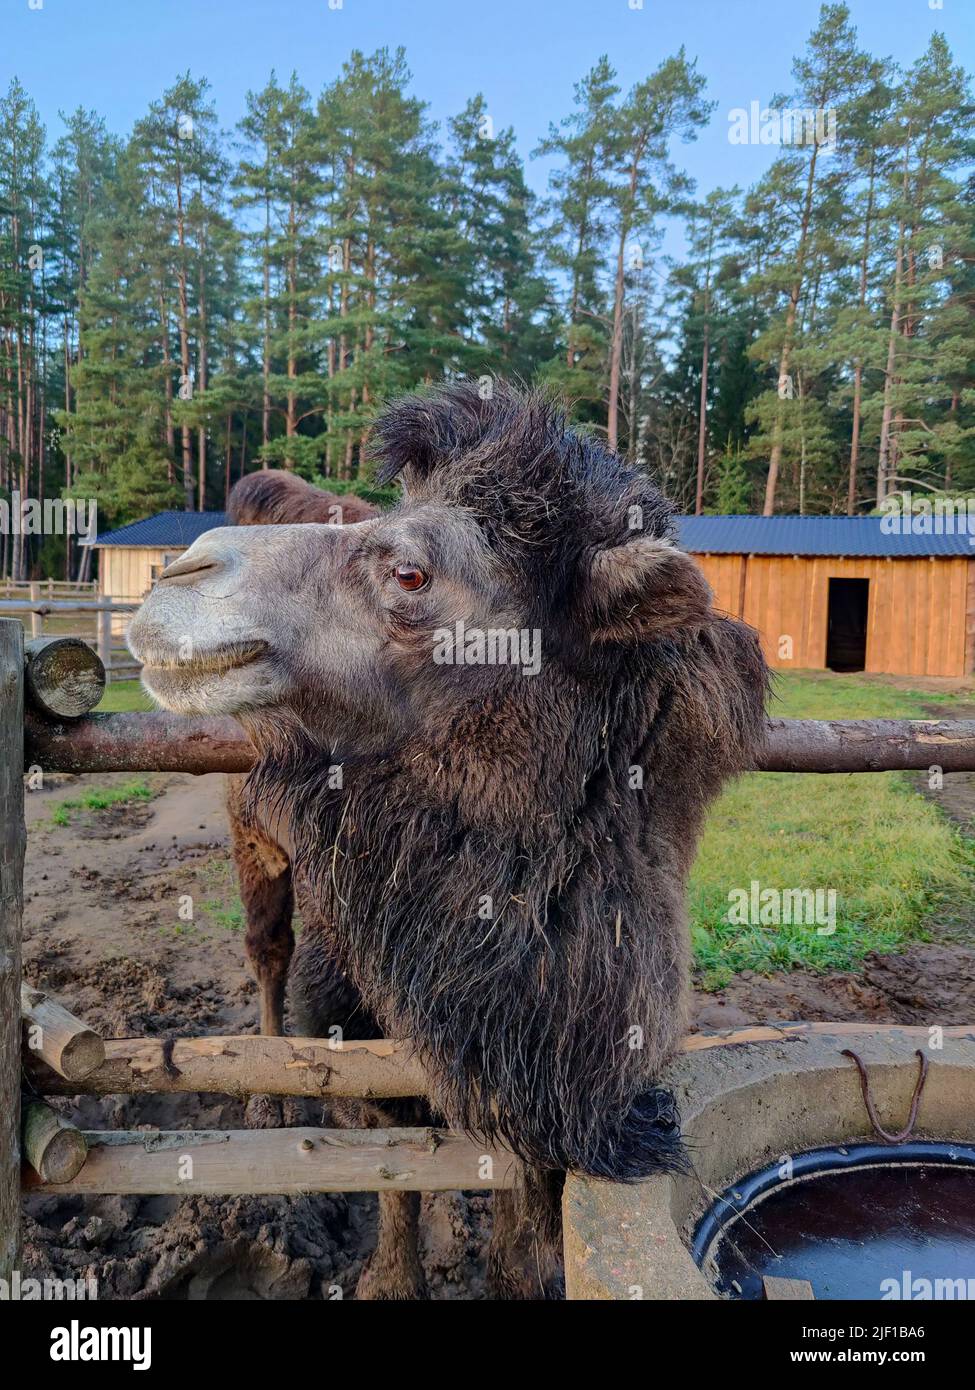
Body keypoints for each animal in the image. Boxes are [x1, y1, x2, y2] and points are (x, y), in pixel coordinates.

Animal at [129, 383, 768, 1298]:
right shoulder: (358, 1000)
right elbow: (393, 1157)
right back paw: (267, 1098)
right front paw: (392, 1278)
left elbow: (525, 1209)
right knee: (267, 950)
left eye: (409, 572)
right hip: (251, 835)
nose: (180, 574)